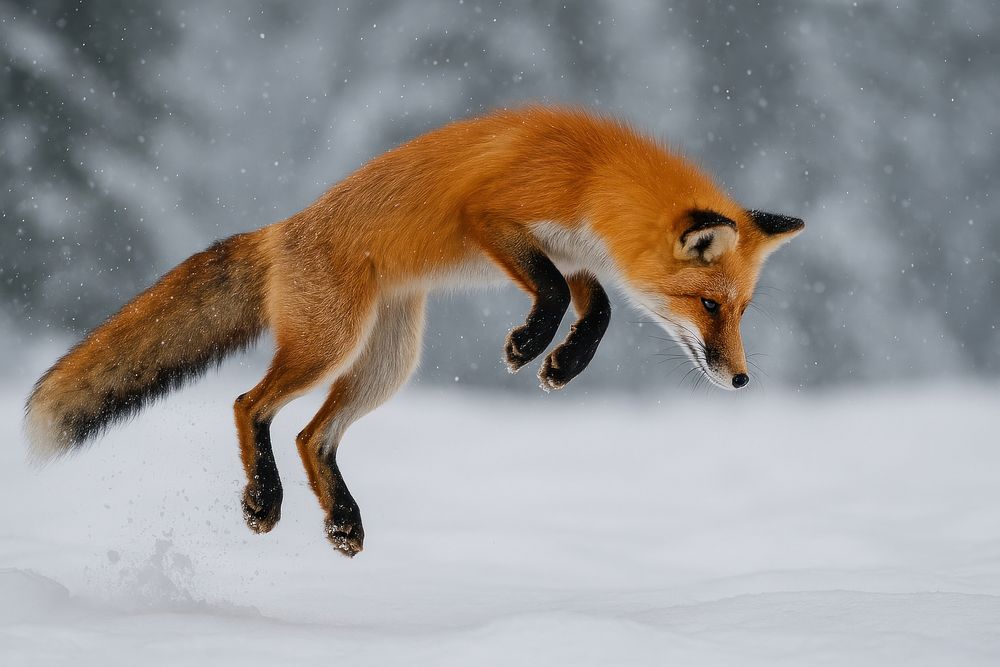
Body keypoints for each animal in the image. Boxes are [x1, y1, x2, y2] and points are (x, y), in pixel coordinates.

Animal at [25, 106, 803, 557]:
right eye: (710, 306)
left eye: (741, 310)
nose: (741, 378)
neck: (594, 178)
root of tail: (282, 231)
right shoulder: (493, 220)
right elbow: (555, 292)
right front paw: (531, 345)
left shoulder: (577, 255)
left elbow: (601, 306)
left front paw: (564, 362)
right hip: (330, 343)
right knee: (250, 404)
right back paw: (263, 500)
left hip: (388, 361)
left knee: (312, 435)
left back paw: (342, 520)